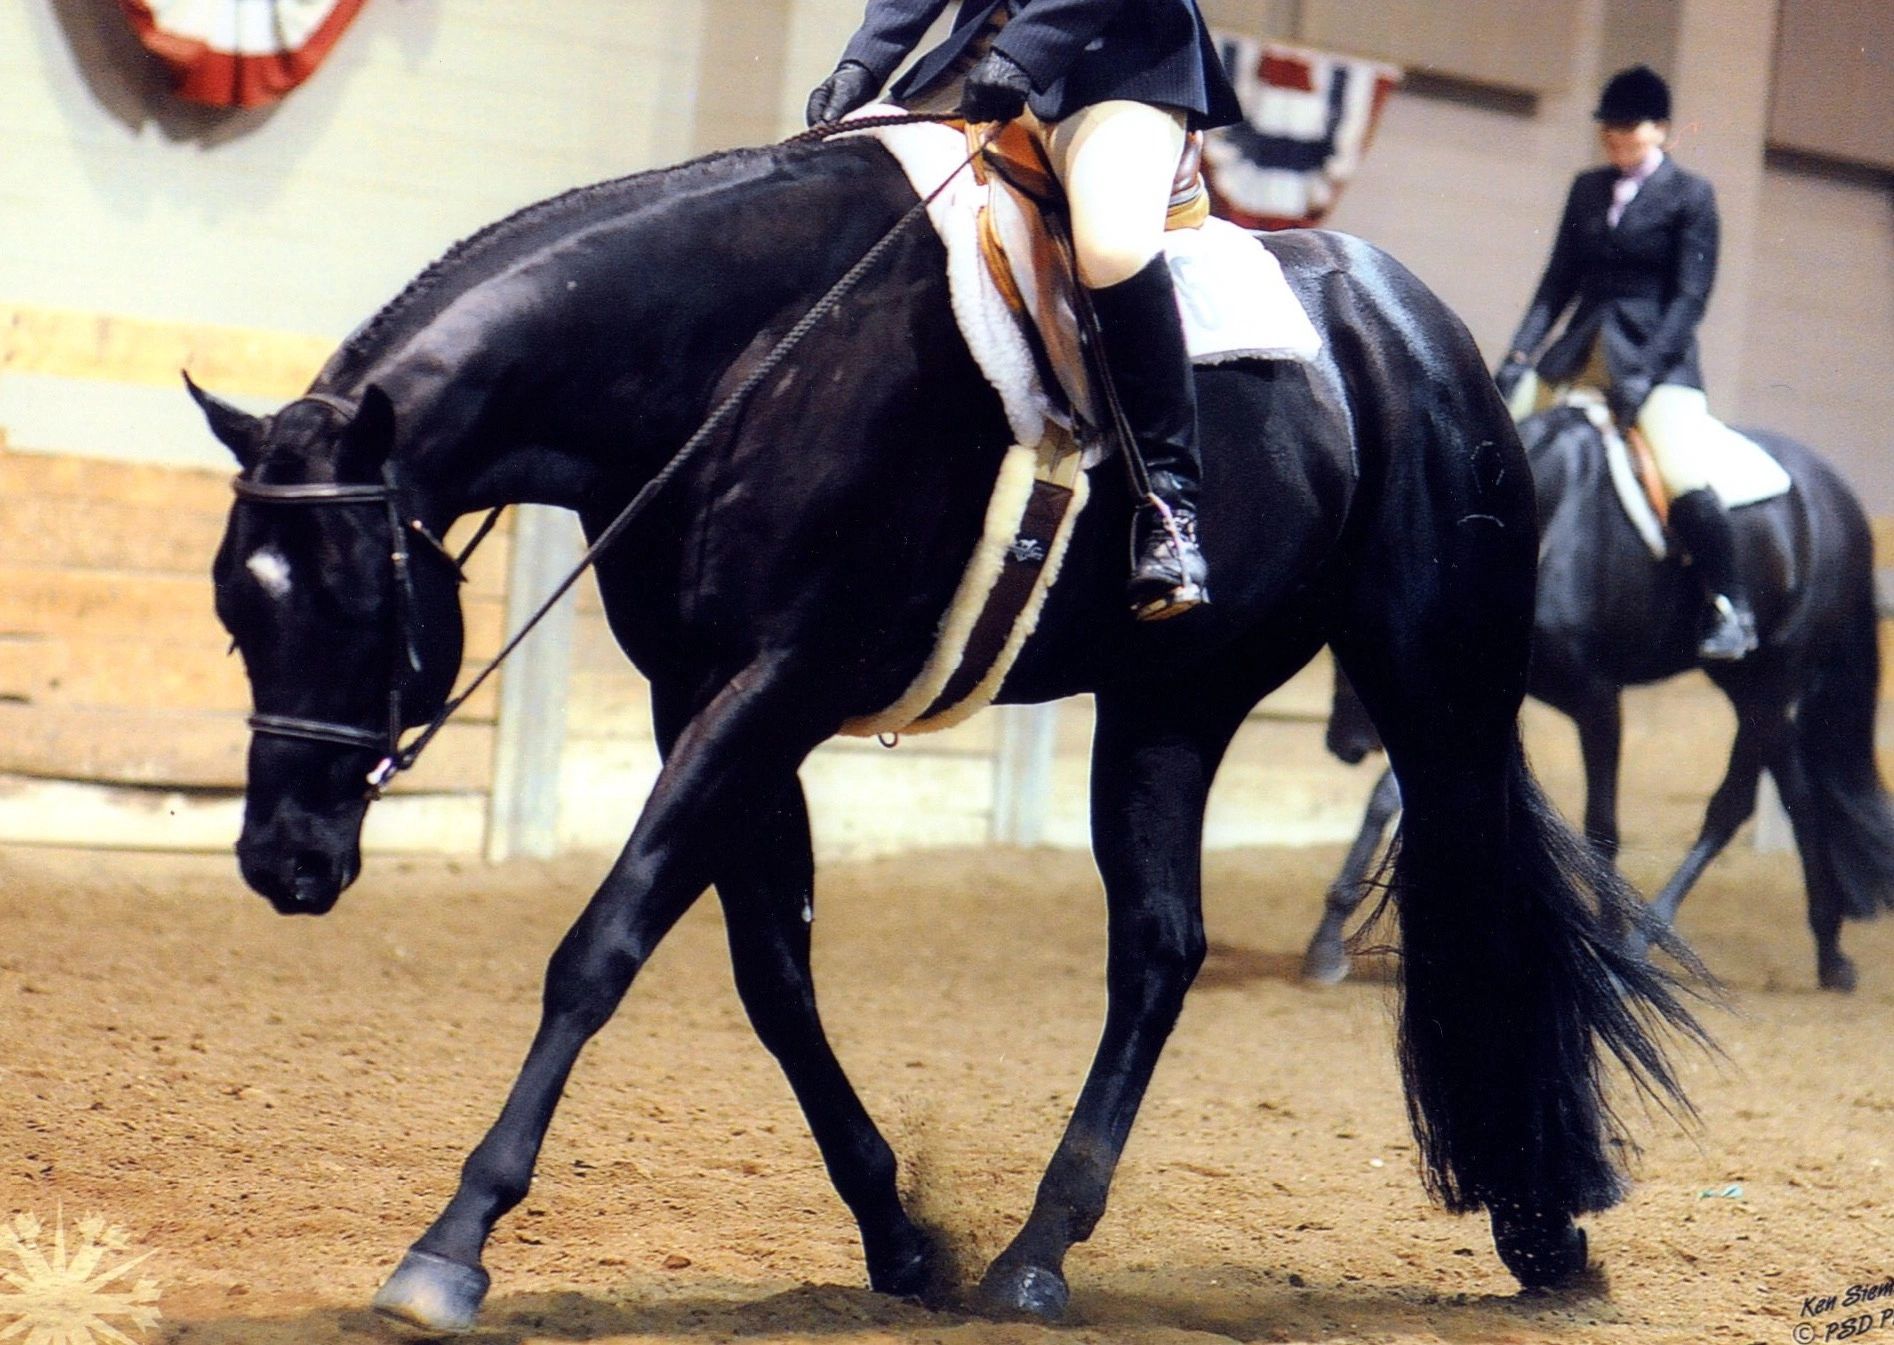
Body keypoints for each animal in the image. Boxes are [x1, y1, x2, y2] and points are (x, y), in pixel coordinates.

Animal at [193, 127, 1702, 1333]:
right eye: (233, 609)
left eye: (353, 598)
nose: (283, 862)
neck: (745, 355)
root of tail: (1420, 331)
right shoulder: (712, 696)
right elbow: (772, 976)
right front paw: (900, 1235)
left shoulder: (779, 683)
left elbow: (600, 947)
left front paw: (451, 1245)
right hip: (1170, 701)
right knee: (1159, 952)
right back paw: (1035, 1254)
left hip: (1438, 691)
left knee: (1474, 910)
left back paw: (1541, 1228)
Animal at [1303, 406, 1894, 993]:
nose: (1344, 744)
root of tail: (1835, 494)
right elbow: (1389, 798)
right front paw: (1326, 943)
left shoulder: (1598, 701)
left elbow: (1602, 825)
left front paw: (1609, 949)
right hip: (1748, 684)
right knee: (1798, 793)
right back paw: (1830, 953)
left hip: (1774, 678)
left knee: (1731, 806)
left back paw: (1644, 942)